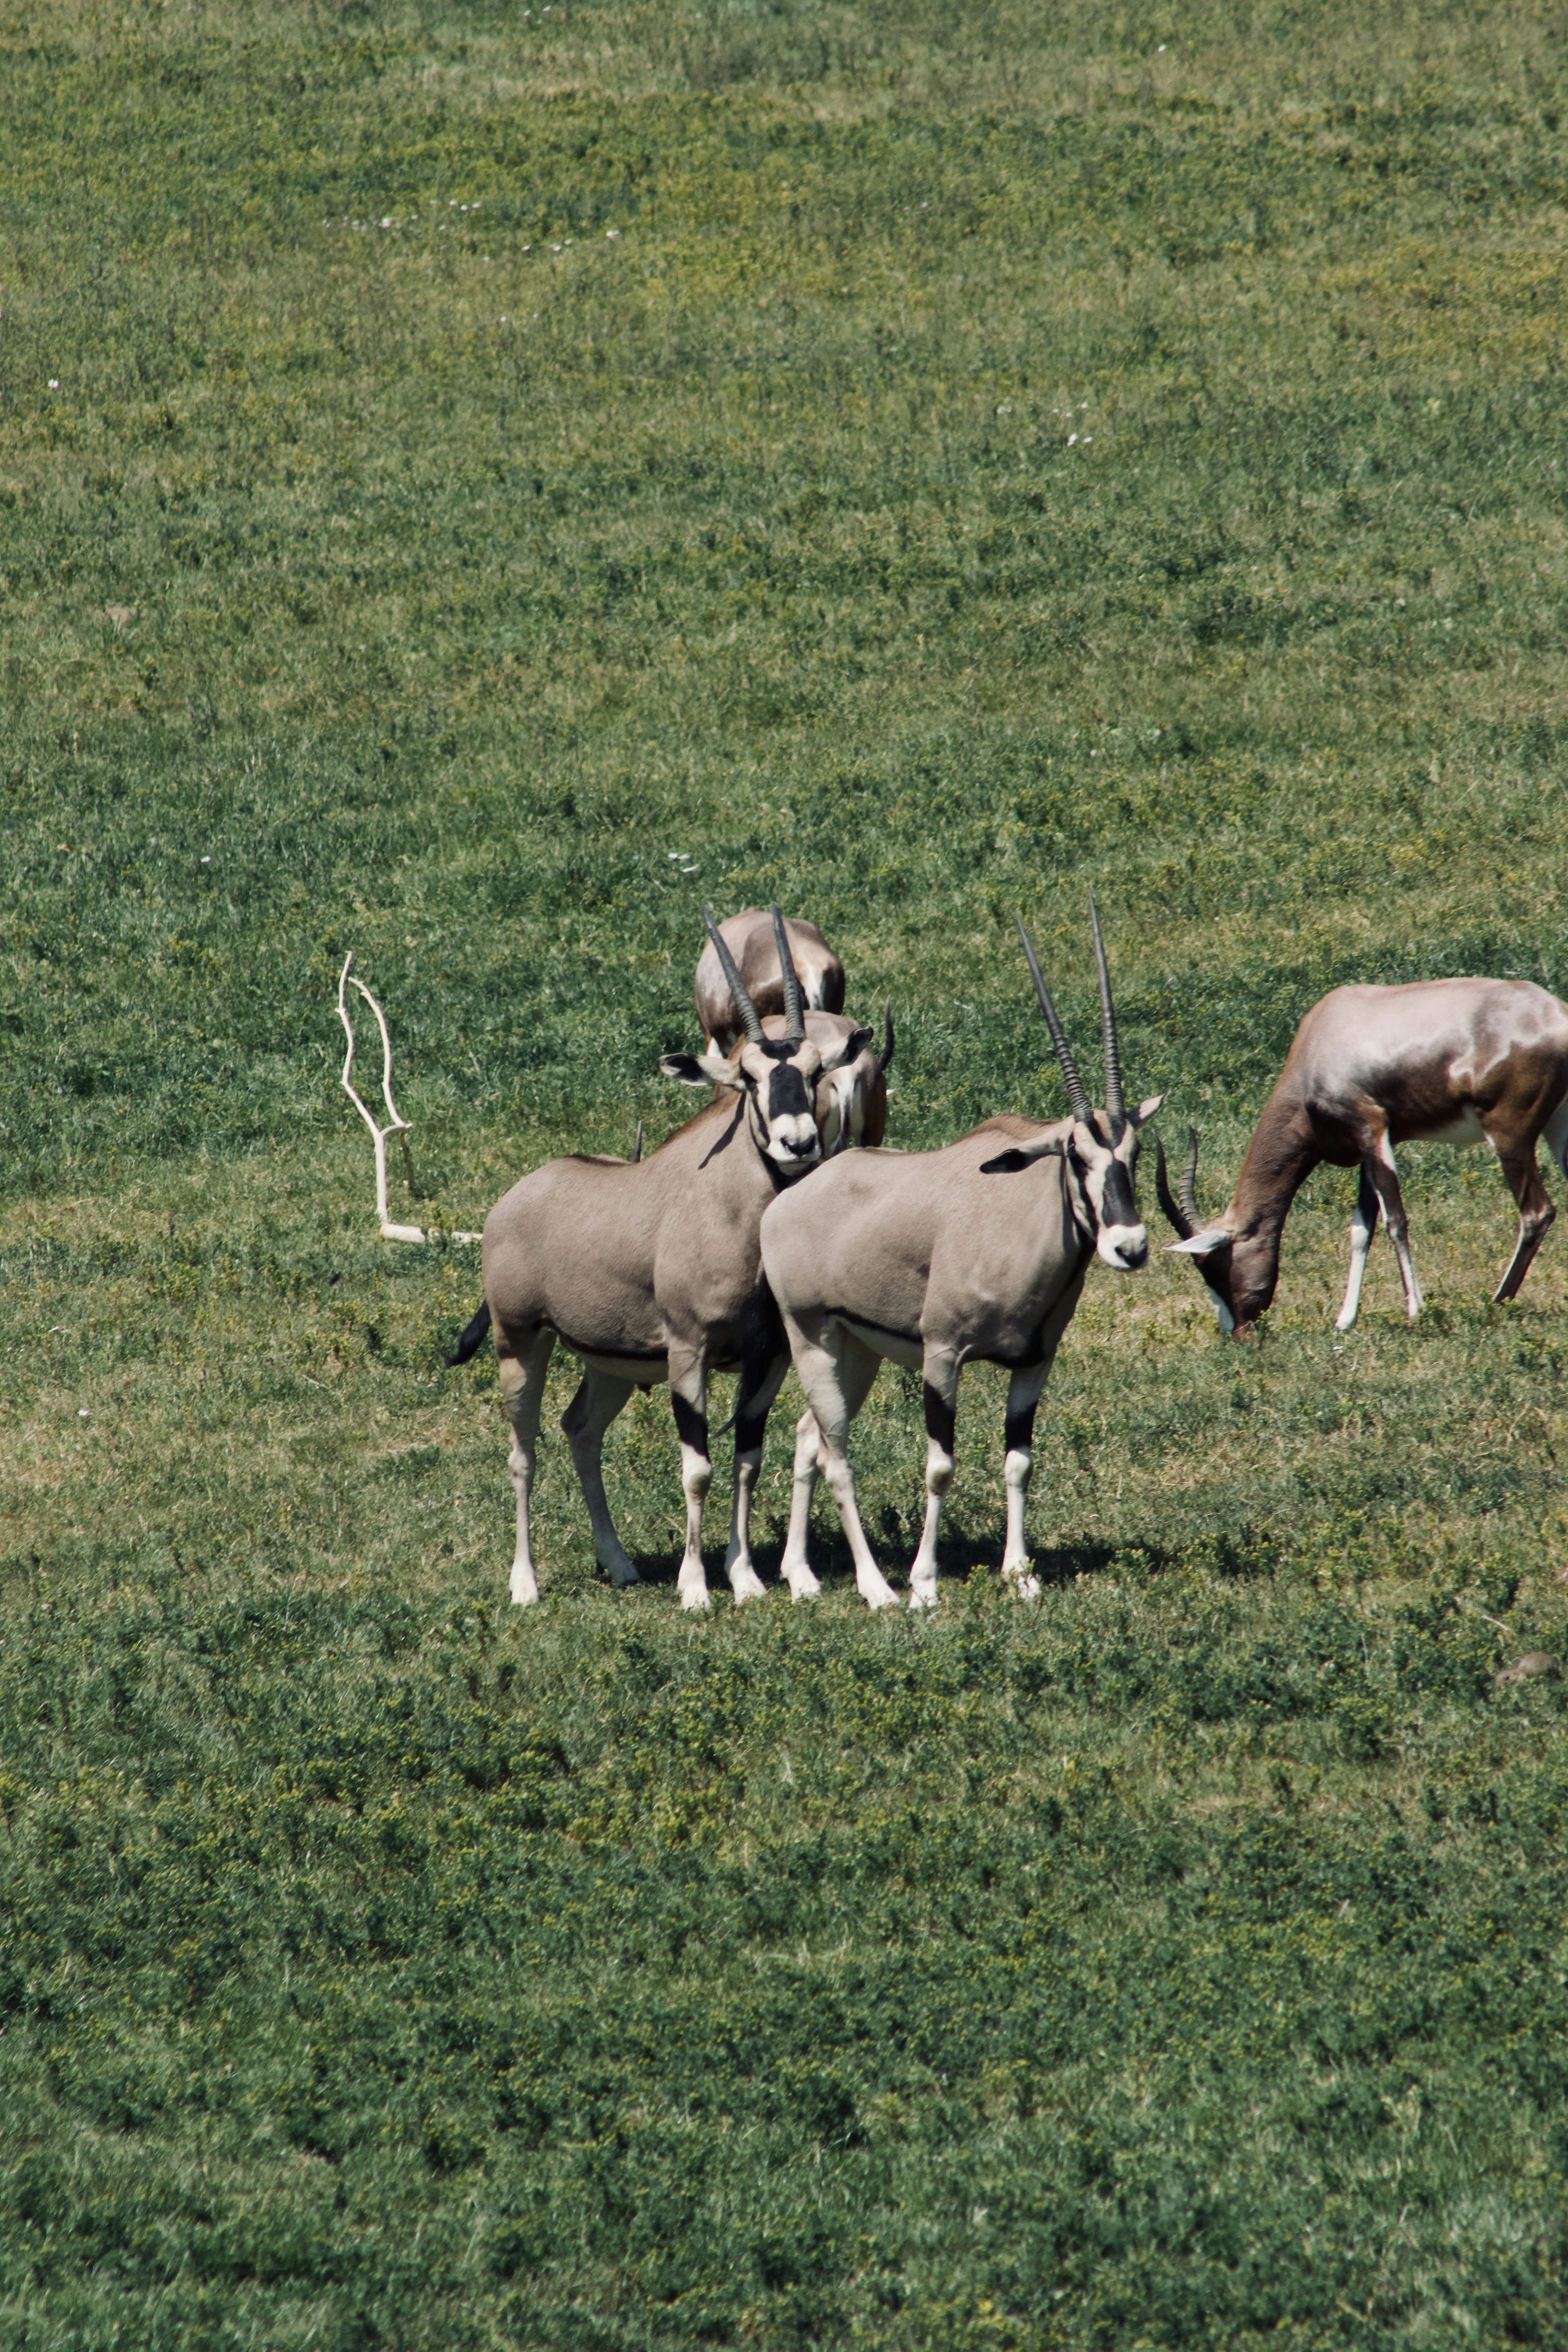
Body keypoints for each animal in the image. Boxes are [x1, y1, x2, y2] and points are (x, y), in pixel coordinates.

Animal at [480, 908, 875, 1610]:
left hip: (609, 1362)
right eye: (749, 1078)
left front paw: (745, 1577)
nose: (799, 1143)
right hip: (519, 1342)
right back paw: (524, 1583)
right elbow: (698, 1469)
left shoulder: (766, 1359)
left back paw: (618, 1563)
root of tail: (515, 1199)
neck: (732, 1215)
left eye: (812, 1070)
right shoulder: (689, 1356)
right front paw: (696, 1588)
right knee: (522, 1453)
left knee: (581, 1430)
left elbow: (746, 1459)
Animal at [758, 904, 1163, 1610]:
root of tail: (791, 1199)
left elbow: (1019, 1460)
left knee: (810, 1437)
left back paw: (801, 1574)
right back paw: (876, 1587)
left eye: (1133, 1154)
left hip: (856, 1348)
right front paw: (925, 1585)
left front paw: (1021, 1574)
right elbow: (941, 1467)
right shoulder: (943, 1358)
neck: (1016, 1217)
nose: (1129, 1246)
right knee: (835, 1450)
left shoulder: (1033, 1363)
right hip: (810, 1336)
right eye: (1076, 1156)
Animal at [1156, 978, 1568, 1334]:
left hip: (1508, 1136)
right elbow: (1360, 1230)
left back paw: (1498, 1302)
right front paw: (1345, 1320)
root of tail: (1555, 1013)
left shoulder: (1372, 1129)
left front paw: (1415, 1311)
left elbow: (1395, 1220)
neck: (1323, 1035)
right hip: (1557, 1130)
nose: (1237, 1333)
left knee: (1536, 1213)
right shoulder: (1367, 1149)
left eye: (1213, 1265)